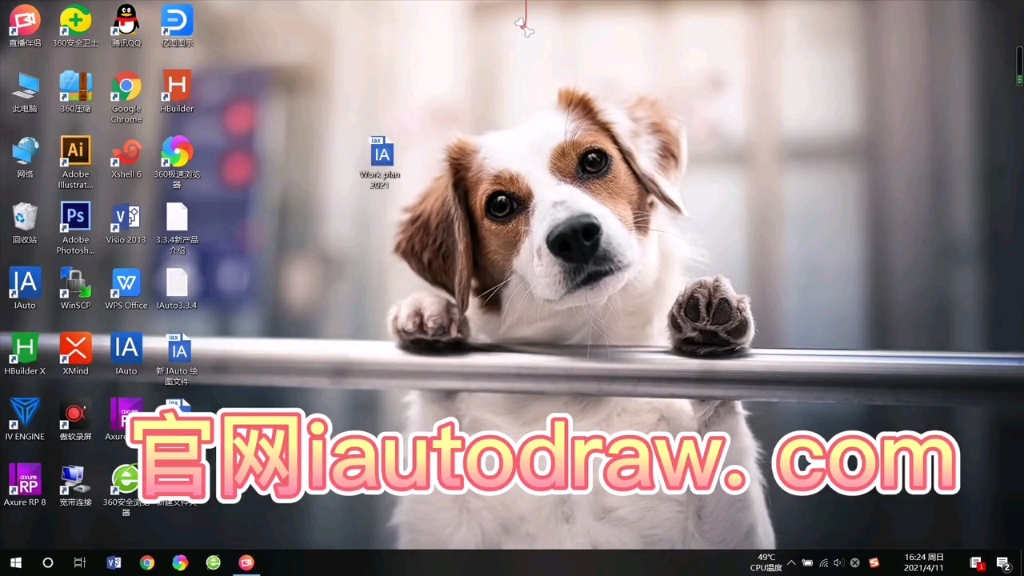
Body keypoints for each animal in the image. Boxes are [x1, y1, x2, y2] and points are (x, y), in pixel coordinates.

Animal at [386, 87, 775, 549]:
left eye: (593, 160)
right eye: (500, 204)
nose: (574, 234)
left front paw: (711, 317)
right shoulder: (443, 534)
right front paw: (430, 309)